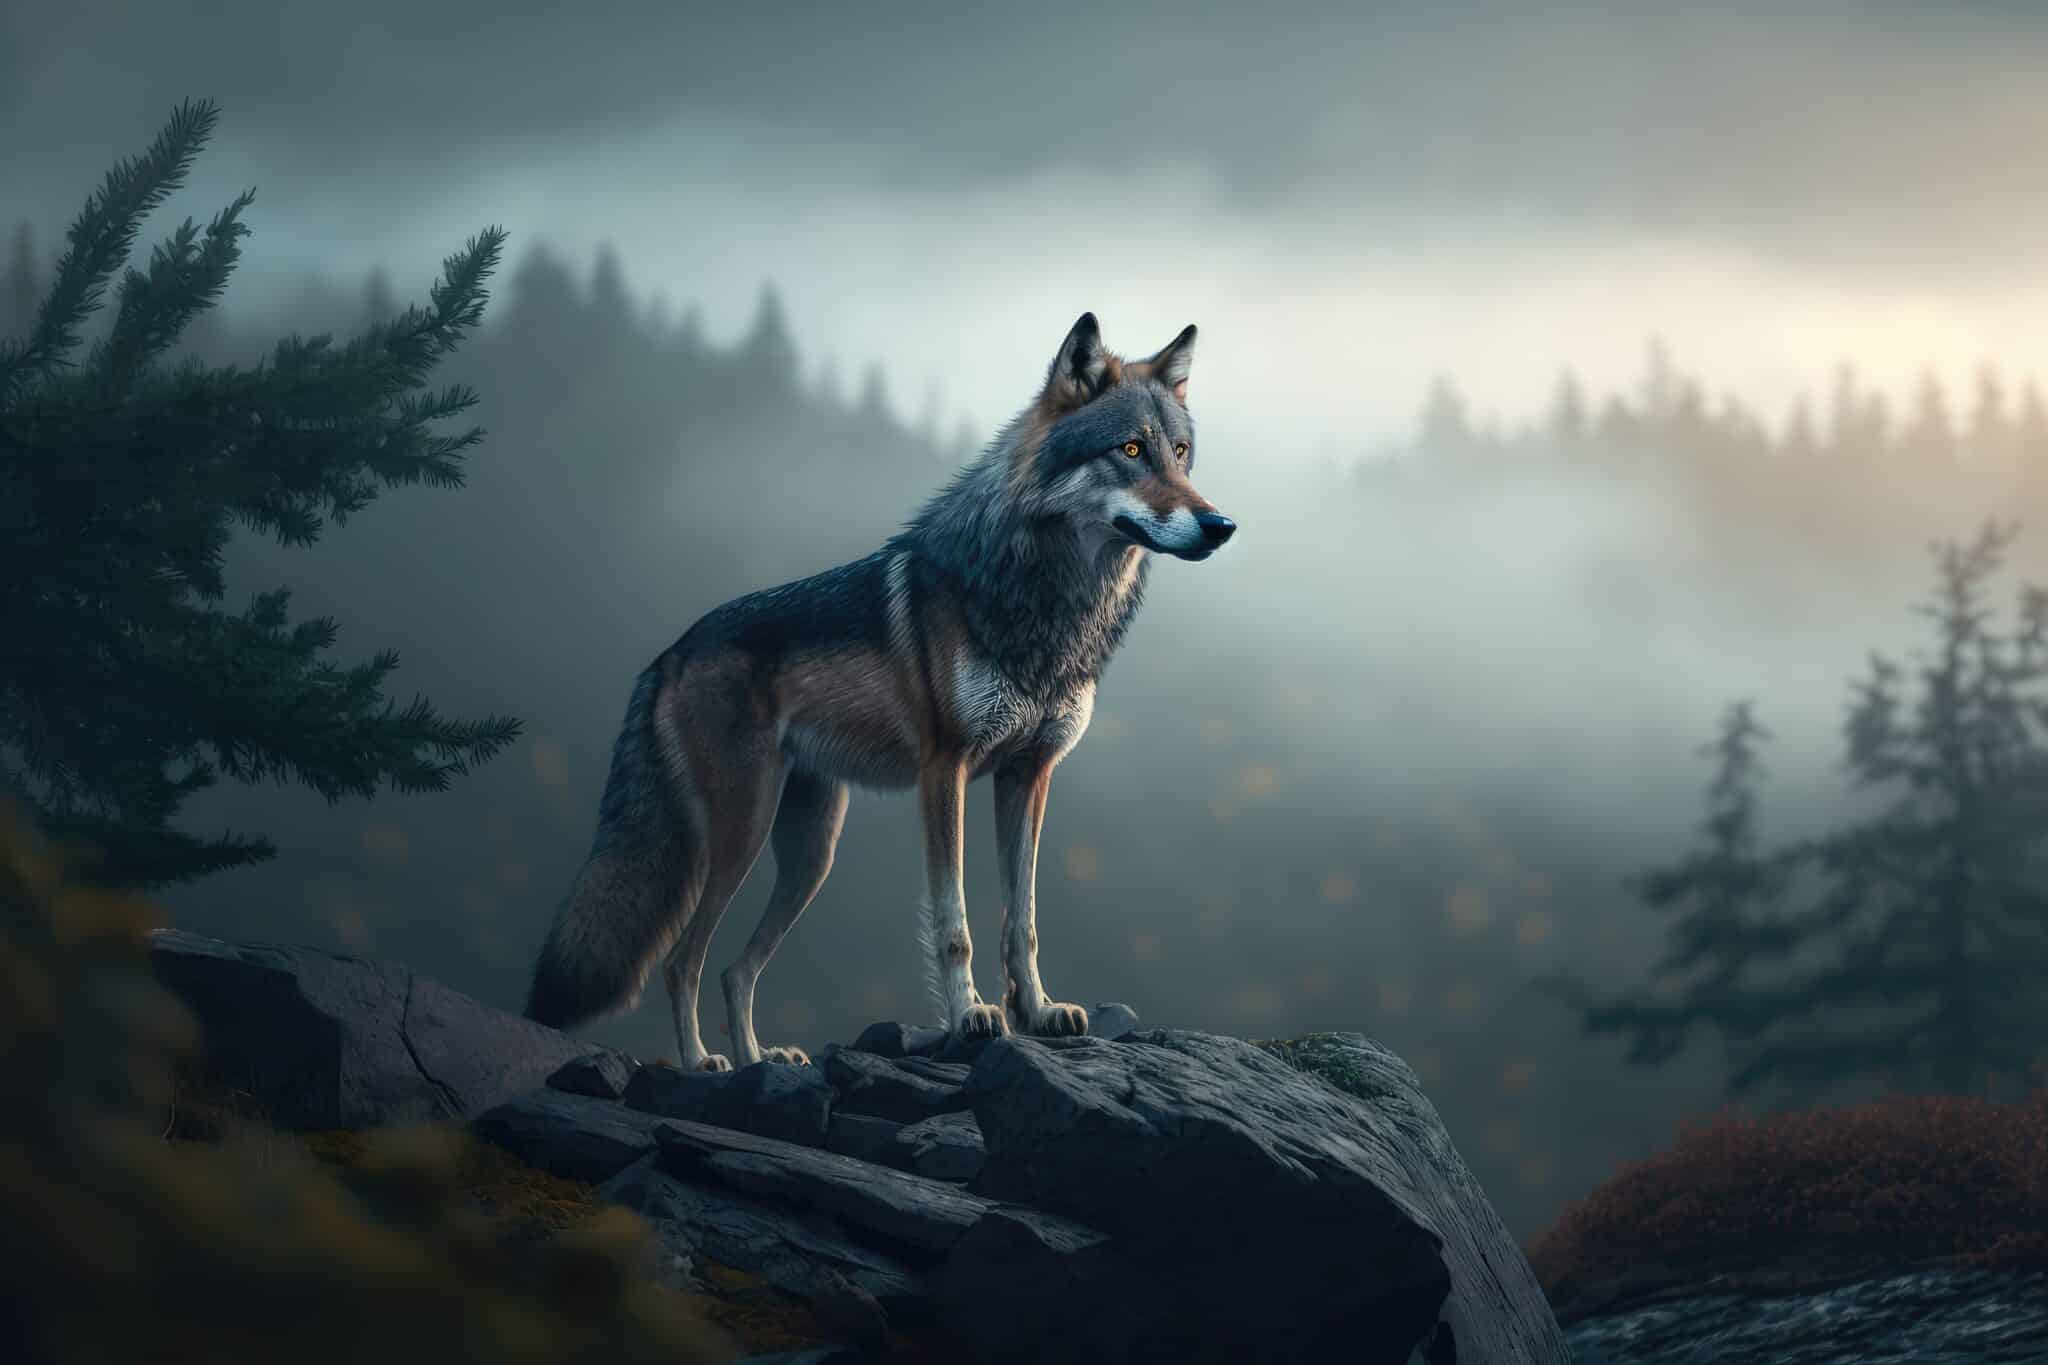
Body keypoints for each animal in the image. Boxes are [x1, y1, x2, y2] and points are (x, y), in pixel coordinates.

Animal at [523, 313, 1236, 1069]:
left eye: (1182, 455)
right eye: (1131, 450)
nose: (1220, 526)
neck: (1049, 606)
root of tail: (666, 653)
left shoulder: (1029, 775)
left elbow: (1023, 918)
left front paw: (1039, 1011)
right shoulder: (945, 770)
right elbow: (955, 922)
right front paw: (972, 1015)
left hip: (810, 855)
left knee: (735, 969)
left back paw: (760, 1058)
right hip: (739, 834)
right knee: (682, 959)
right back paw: (702, 1064)